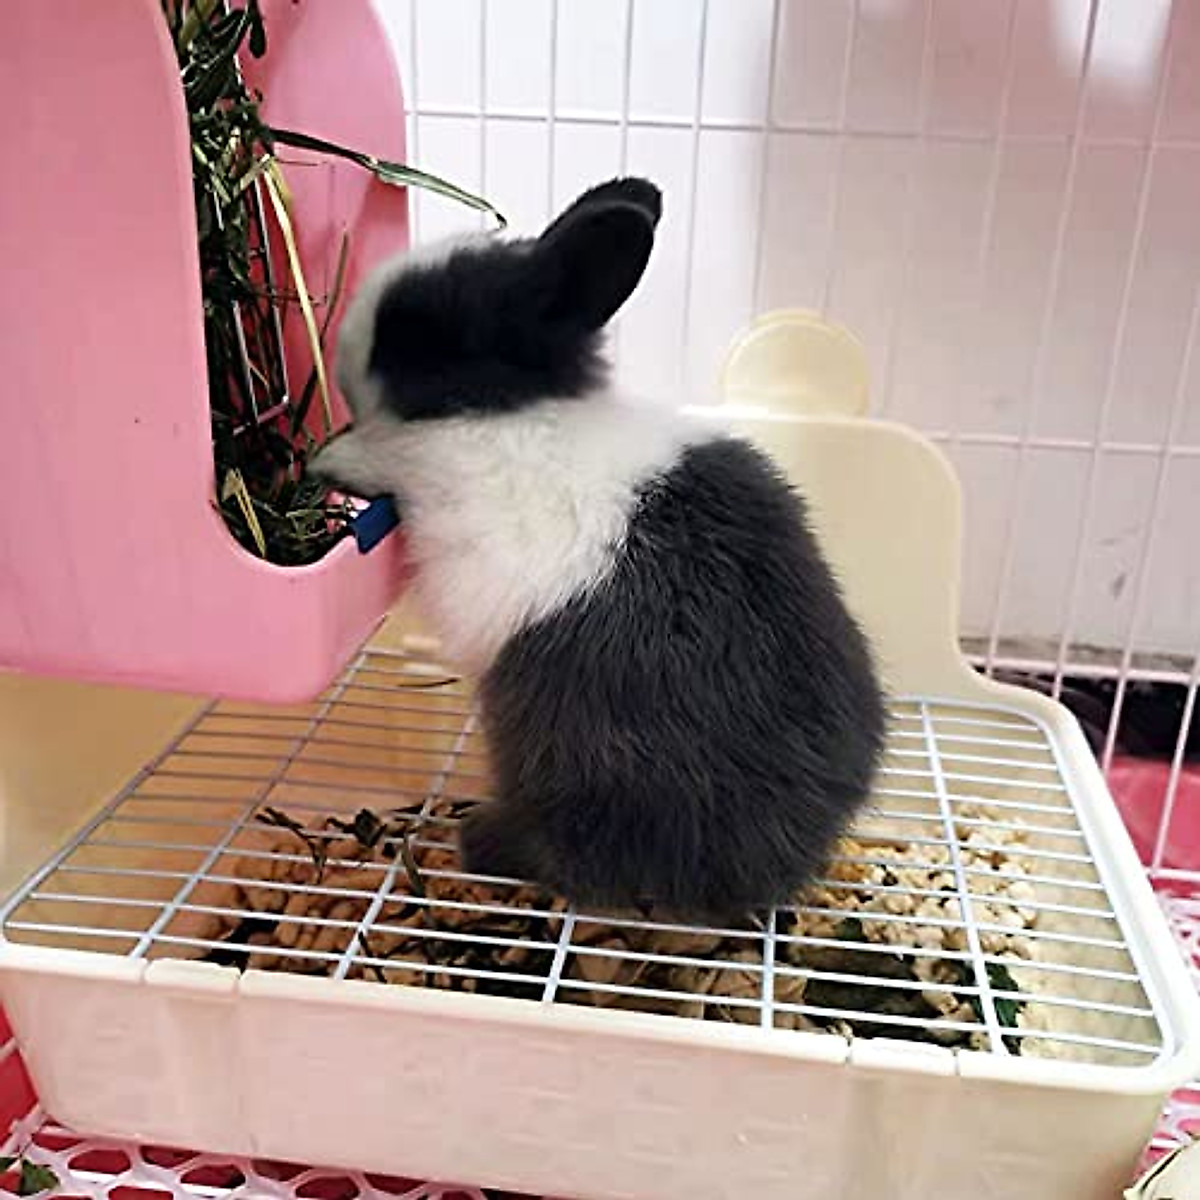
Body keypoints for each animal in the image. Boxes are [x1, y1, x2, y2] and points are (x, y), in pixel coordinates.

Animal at [309, 176, 885, 919]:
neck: (511, 407)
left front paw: (325, 460)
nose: (343, 348)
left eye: (421, 337)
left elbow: (373, 457)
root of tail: (784, 849)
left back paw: (481, 840)